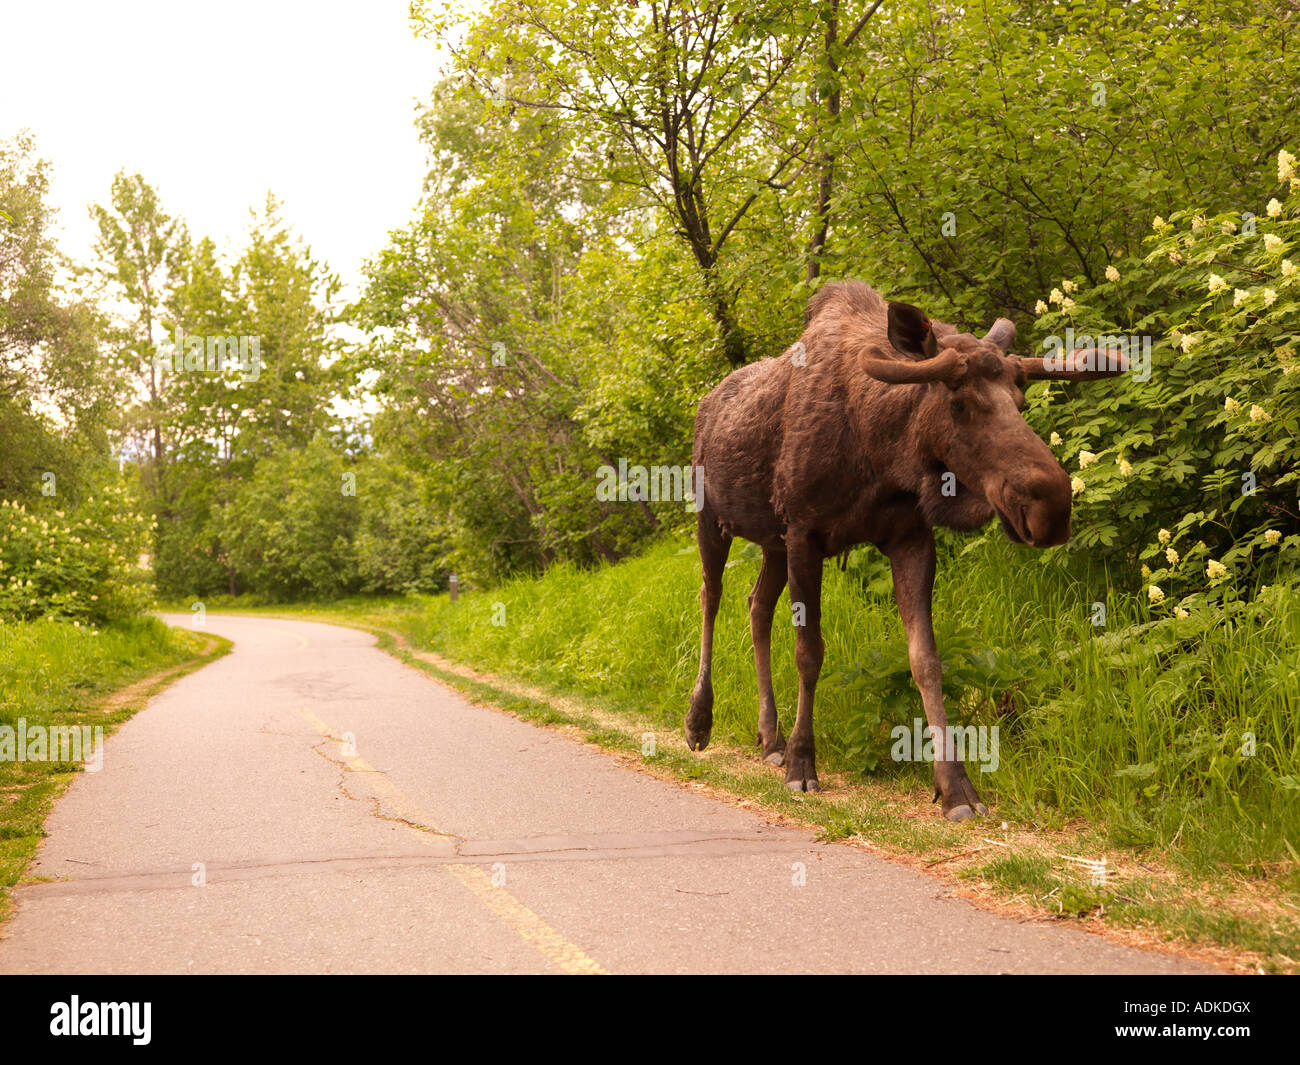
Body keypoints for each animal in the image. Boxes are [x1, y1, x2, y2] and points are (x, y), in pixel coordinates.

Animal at [685, 280, 1126, 820]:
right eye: (958, 404)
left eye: (1020, 401)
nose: (1051, 506)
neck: (879, 449)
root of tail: (706, 404)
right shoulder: (806, 533)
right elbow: (810, 652)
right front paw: (803, 763)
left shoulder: (908, 537)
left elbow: (926, 659)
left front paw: (956, 787)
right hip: (712, 519)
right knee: (711, 597)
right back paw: (700, 720)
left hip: (772, 541)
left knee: (756, 606)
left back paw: (769, 737)